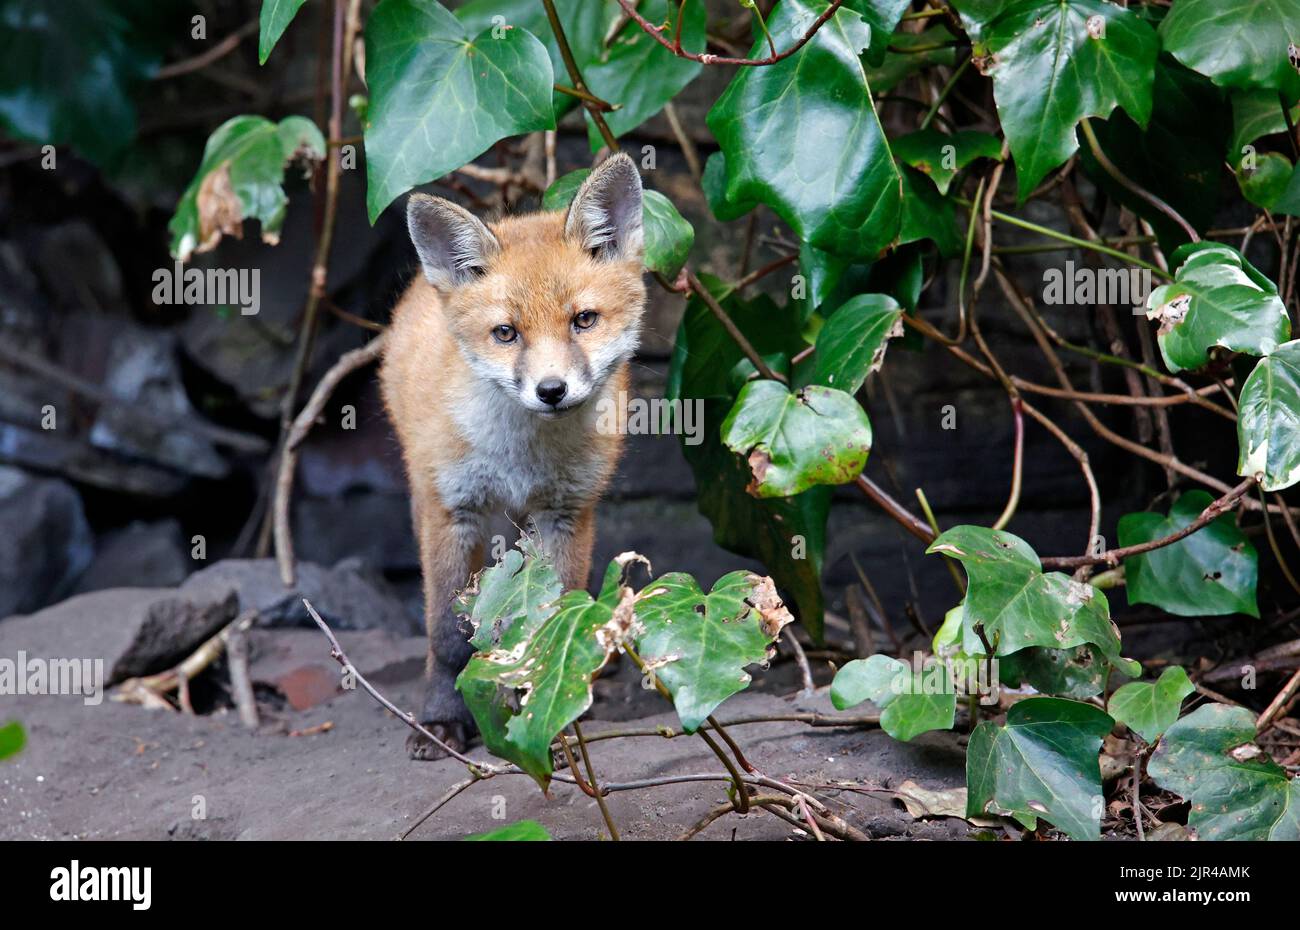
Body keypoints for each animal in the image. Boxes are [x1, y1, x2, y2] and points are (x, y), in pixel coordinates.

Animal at [380, 153, 647, 760]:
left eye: (583, 320)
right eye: (506, 333)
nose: (552, 390)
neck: (520, 456)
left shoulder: (566, 513)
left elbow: (553, 629)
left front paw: (547, 711)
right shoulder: (452, 510)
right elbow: (446, 633)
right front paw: (442, 717)